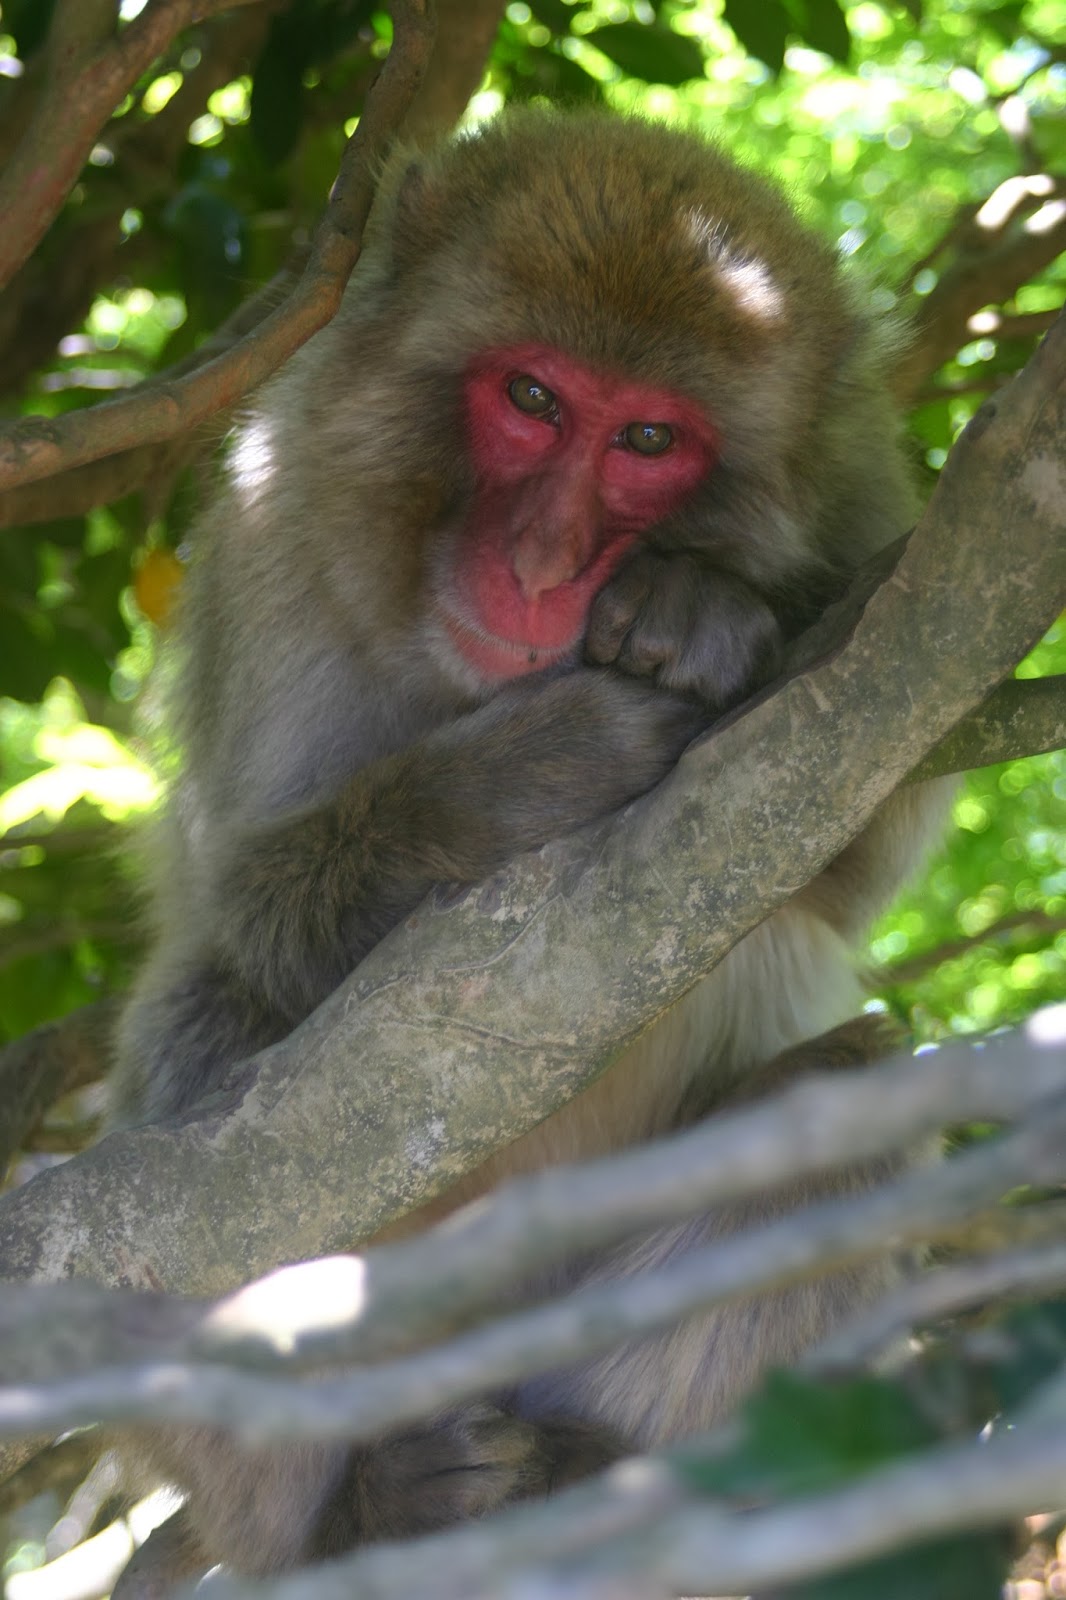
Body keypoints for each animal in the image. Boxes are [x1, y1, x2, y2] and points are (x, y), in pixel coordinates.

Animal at [111, 109, 950, 1576]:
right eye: (533, 400)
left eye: (650, 437)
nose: (547, 564)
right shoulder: (275, 532)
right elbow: (240, 933)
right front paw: (533, 770)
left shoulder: (863, 500)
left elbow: (856, 803)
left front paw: (700, 599)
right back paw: (363, 1519)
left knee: (849, 1092)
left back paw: (581, 1481)